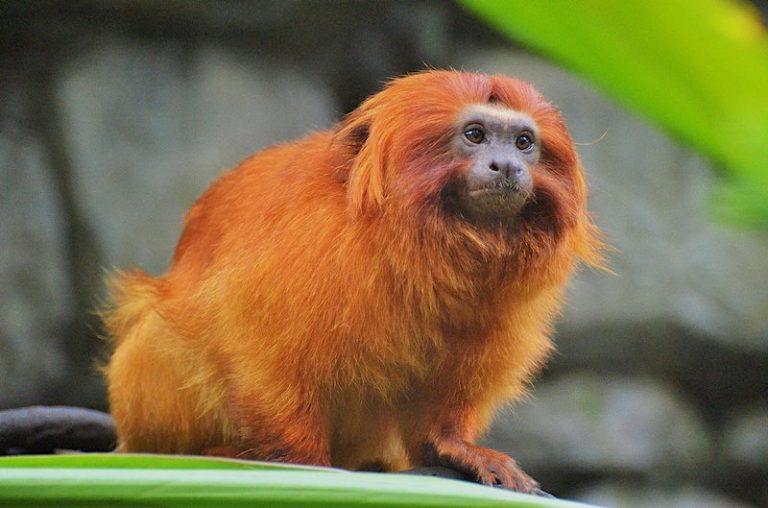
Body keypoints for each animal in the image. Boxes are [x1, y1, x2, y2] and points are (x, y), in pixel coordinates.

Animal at [103, 70, 604, 493]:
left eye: (523, 142)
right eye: (475, 135)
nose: (507, 166)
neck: (422, 251)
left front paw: (451, 445)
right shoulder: (301, 255)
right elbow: (261, 353)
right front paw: (302, 462)